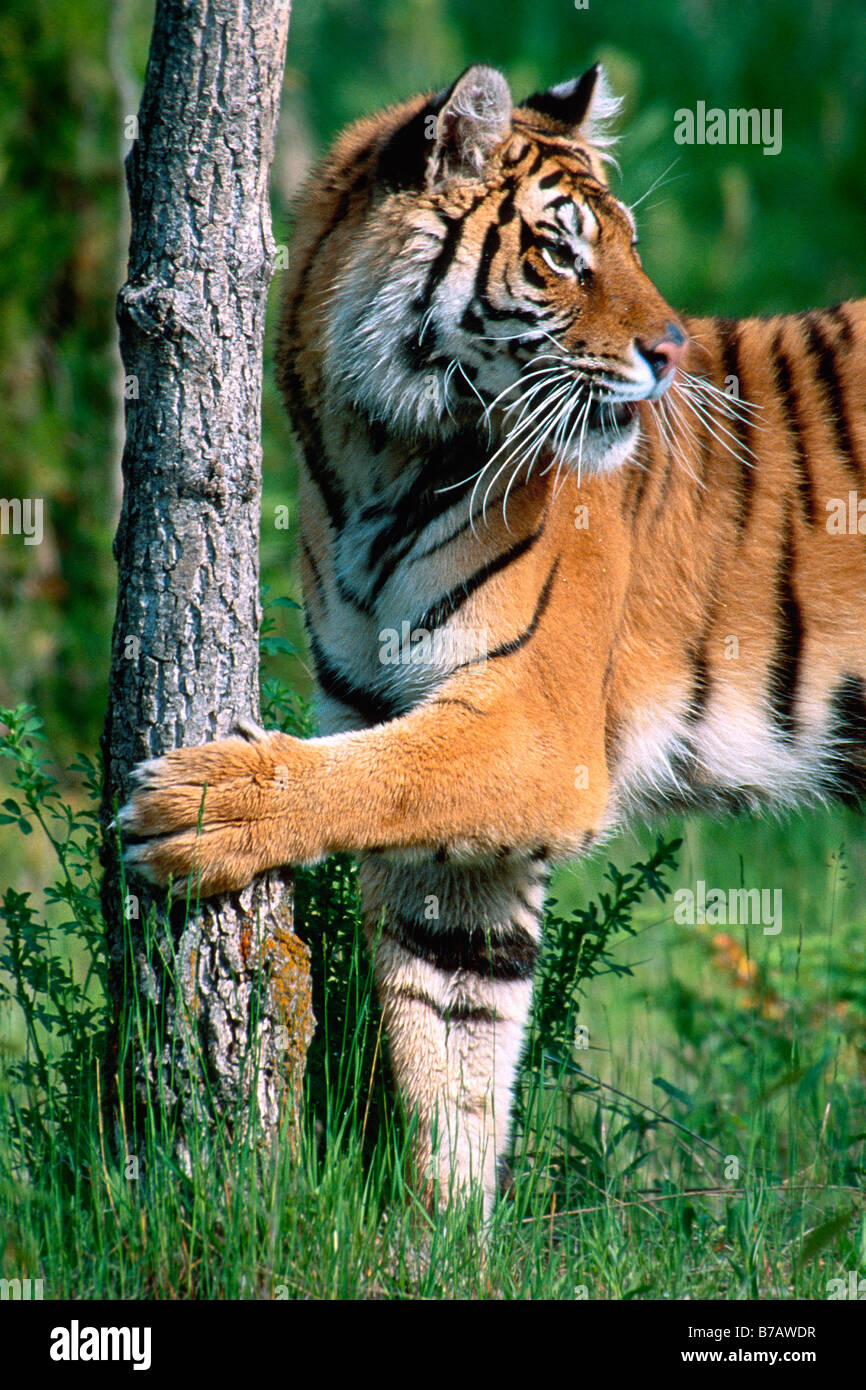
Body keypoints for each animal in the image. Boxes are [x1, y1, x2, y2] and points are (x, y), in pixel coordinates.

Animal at [120, 63, 866, 1219]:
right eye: (561, 252)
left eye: (629, 245)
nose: (670, 353)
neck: (375, 458)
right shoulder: (445, 810)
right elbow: (452, 1037)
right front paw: (447, 1231)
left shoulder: (532, 729)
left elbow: (373, 777)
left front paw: (202, 806)